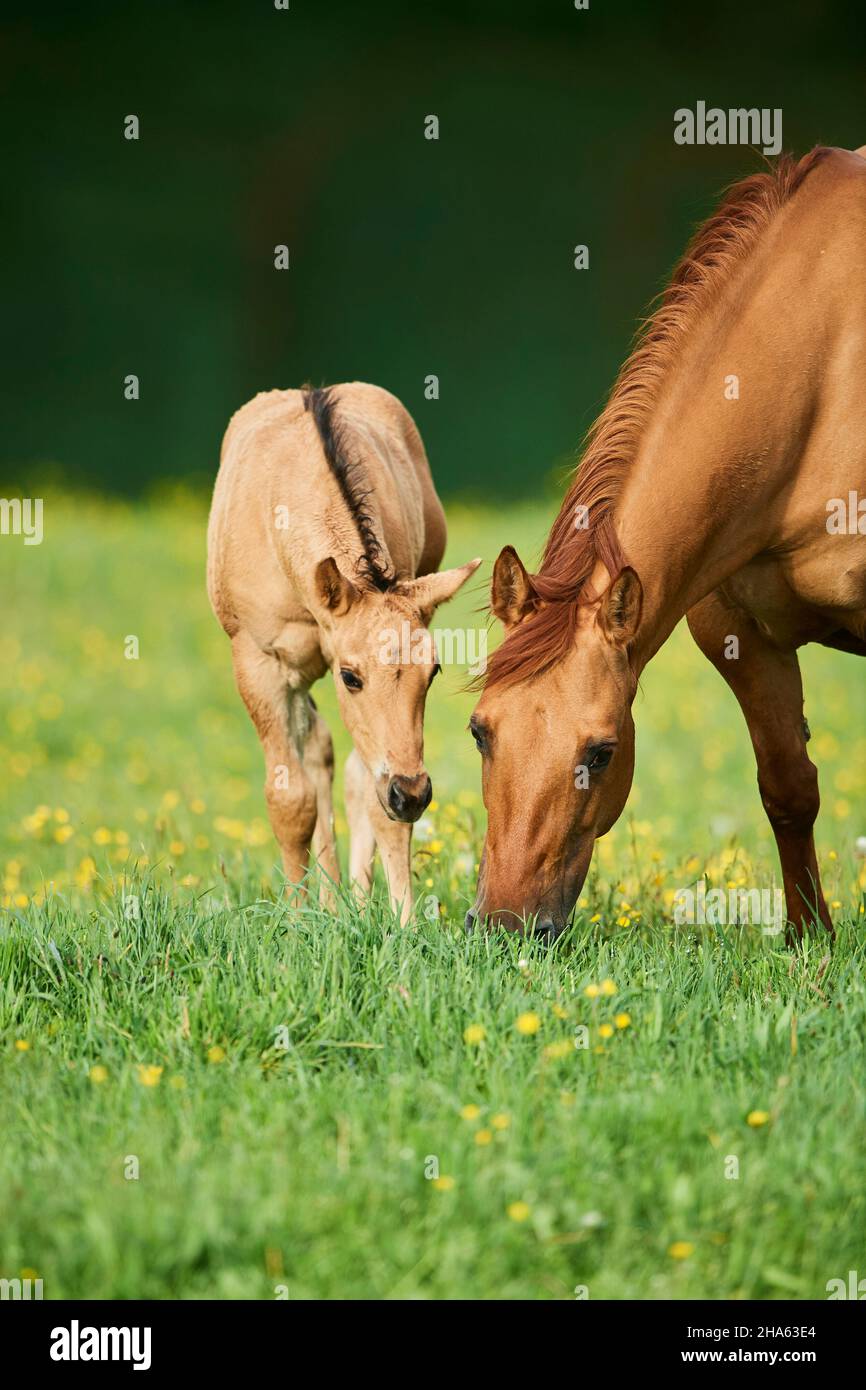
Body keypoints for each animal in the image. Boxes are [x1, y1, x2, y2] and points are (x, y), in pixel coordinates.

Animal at [207, 382, 479, 922]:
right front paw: (295, 919)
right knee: (318, 749)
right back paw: (329, 904)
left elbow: (376, 798)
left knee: (349, 767)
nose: (413, 794)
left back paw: (347, 897)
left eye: (434, 671)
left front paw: (404, 921)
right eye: (352, 676)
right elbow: (290, 799)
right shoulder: (259, 662)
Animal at [468, 144, 866, 944]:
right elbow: (788, 788)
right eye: (480, 732)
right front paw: (810, 940)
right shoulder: (736, 632)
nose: (504, 928)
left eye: (601, 752)